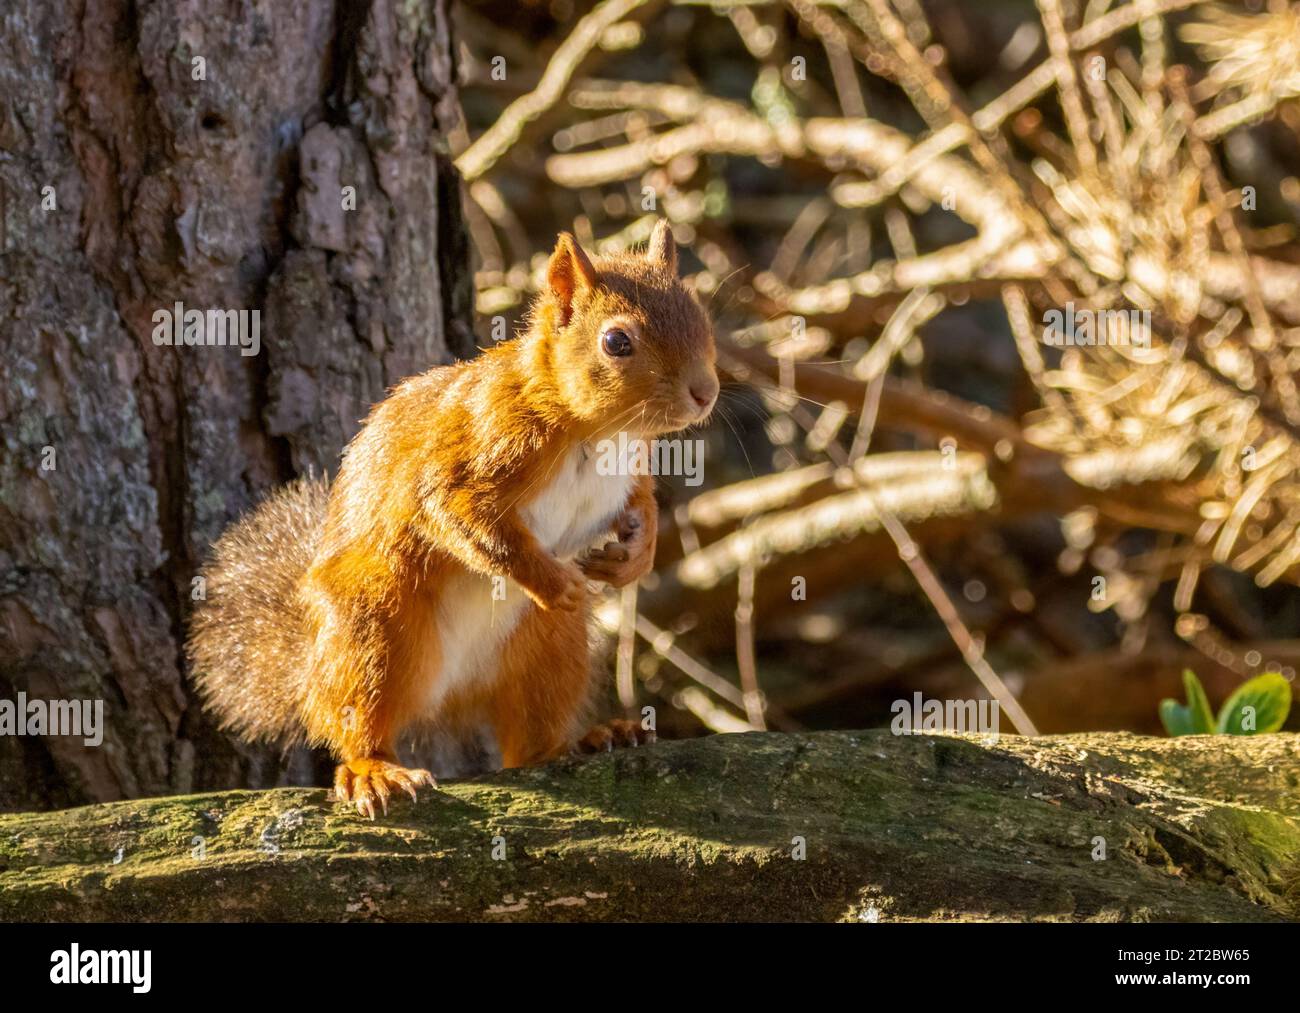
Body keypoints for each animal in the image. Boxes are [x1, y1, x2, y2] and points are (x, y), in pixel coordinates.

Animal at [187, 219, 718, 818]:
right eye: (616, 342)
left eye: (701, 314)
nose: (705, 392)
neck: (599, 433)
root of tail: (449, 692)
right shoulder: (480, 446)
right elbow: (463, 518)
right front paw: (555, 581)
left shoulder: (628, 474)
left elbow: (642, 504)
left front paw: (634, 557)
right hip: (375, 623)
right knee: (355, 721)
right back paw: (374, 773)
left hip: (549, 649)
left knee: (530, 742)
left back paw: (591, 738)